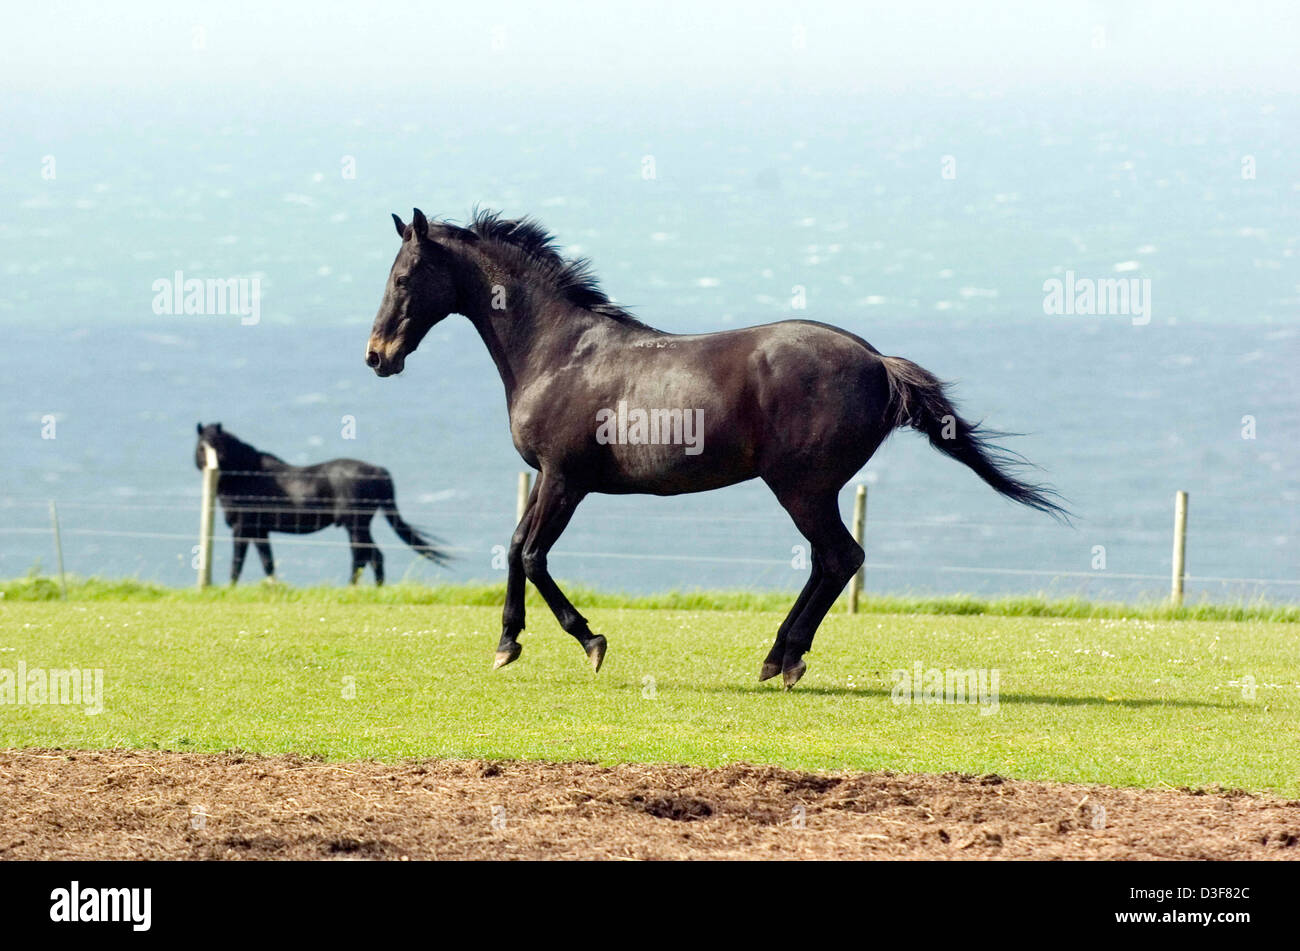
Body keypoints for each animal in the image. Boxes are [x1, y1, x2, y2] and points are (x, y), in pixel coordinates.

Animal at [194, 423, 448, 585]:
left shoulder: (242, 528)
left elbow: (237, 562)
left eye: (219, 444)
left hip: (356, 526)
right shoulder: (259, 531)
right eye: (201, 446)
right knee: (372, 557)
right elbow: (268, 562)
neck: (246, 474)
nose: (216, 464)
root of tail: (379, 471)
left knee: (364, 556)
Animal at [364, 208, 1067, 689]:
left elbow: (534, 555)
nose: (377, 356)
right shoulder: (548, 477)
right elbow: (514, 547)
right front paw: (507, 642)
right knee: (829, 562)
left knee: (839, 557)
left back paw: (784, 658)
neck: (561, 352)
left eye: (404, 278)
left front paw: (590, 641)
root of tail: (877, 361)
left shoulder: (566, 478)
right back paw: (780, 657)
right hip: (808, 489)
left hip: (802, 487)